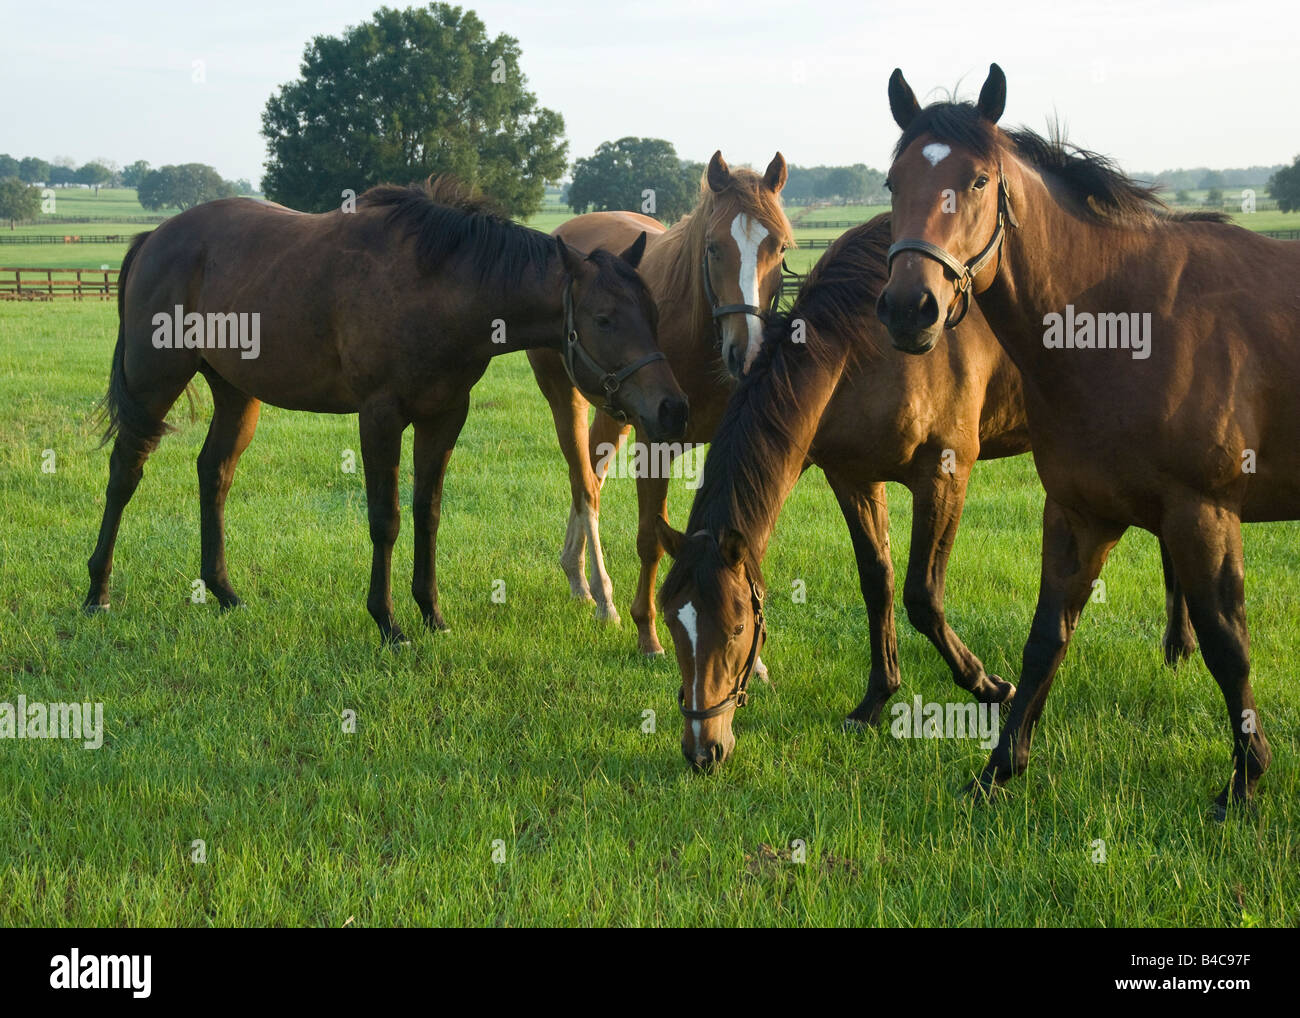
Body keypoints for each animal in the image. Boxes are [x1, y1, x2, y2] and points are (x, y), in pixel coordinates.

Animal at [83, 177, 688, 646]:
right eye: (604, 318)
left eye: (655, 313)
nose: (672, 408)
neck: (438, 286)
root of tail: (156, 237)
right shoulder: (379, 416)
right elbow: (386, 519)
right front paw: (388, 622)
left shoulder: (444, 416)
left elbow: (429, 514)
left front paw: (432, 614)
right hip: (153, 380)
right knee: (124, 473)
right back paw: (97, 592)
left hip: (236, 394)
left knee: (214, 473)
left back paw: (224, 591)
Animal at [527, 151, 793, 655]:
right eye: (713, 247)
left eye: (782, 248)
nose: (746, 351)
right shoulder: (656, 441)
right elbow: (651, 537)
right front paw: (648, 631)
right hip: (565, 397)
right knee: (583, 485)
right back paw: (602, 596)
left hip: (614, 413)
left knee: (593, 474)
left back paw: (577, 576)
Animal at [655, 214, 1193, 769]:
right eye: (673, 622)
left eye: (738, 628)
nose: (702, 749)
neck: (858, 344)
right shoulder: (852, 478)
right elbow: (878, 582)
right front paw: (875, 698)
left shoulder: (943, 473)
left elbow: (922, 595)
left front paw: (989, 687)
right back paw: (1180, 645)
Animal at [876, 63, 1297, 815]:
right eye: (895, 182)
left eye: (978, 180)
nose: (908, 308)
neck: (1126, 320)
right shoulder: (1081, 513)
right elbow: (1047, 638)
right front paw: (998, 769)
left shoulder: (1204, 513)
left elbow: (1229, 645)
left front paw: (1246, 779)